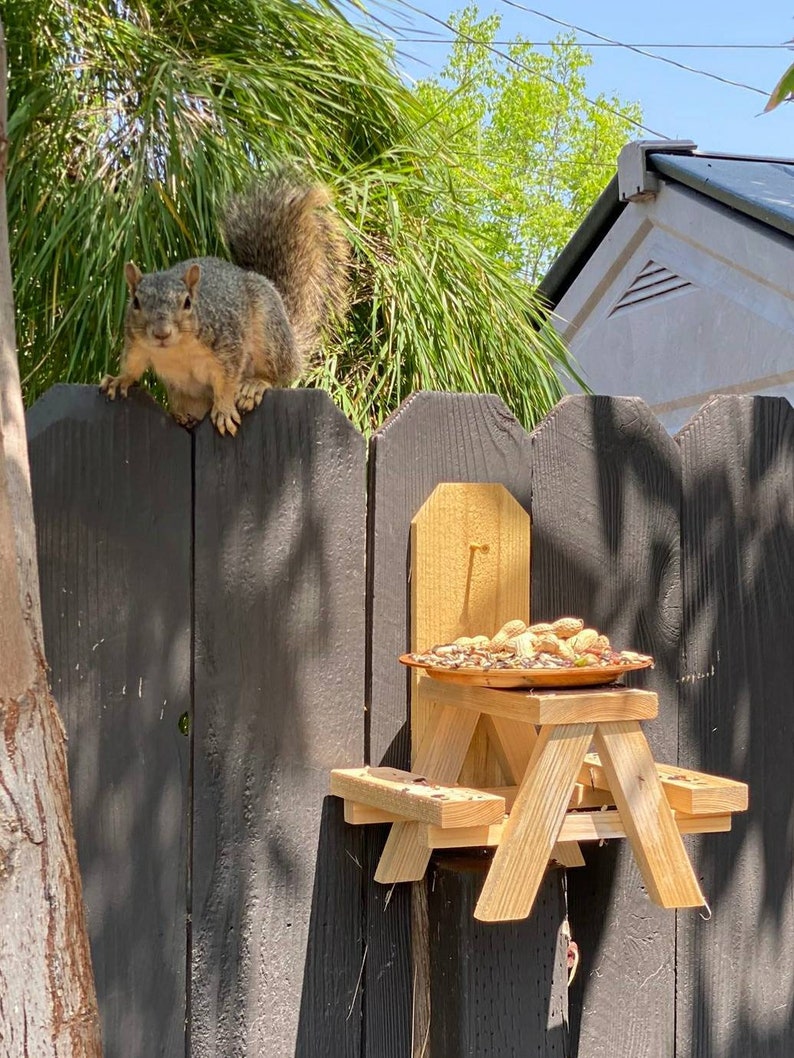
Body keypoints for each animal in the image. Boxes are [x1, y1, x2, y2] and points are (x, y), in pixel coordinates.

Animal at [100, 171, 349, 435]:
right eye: (136, 302)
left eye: (187, 303)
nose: (161, 334)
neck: (177, 349)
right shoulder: (136, 342)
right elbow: (132, 364)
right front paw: (119, 379)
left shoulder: (228, 342)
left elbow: (227, 380)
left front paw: (224, 409)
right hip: (188, 396)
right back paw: (183, 418)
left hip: (270, 333)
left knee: (277, 374)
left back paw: (255, 385)